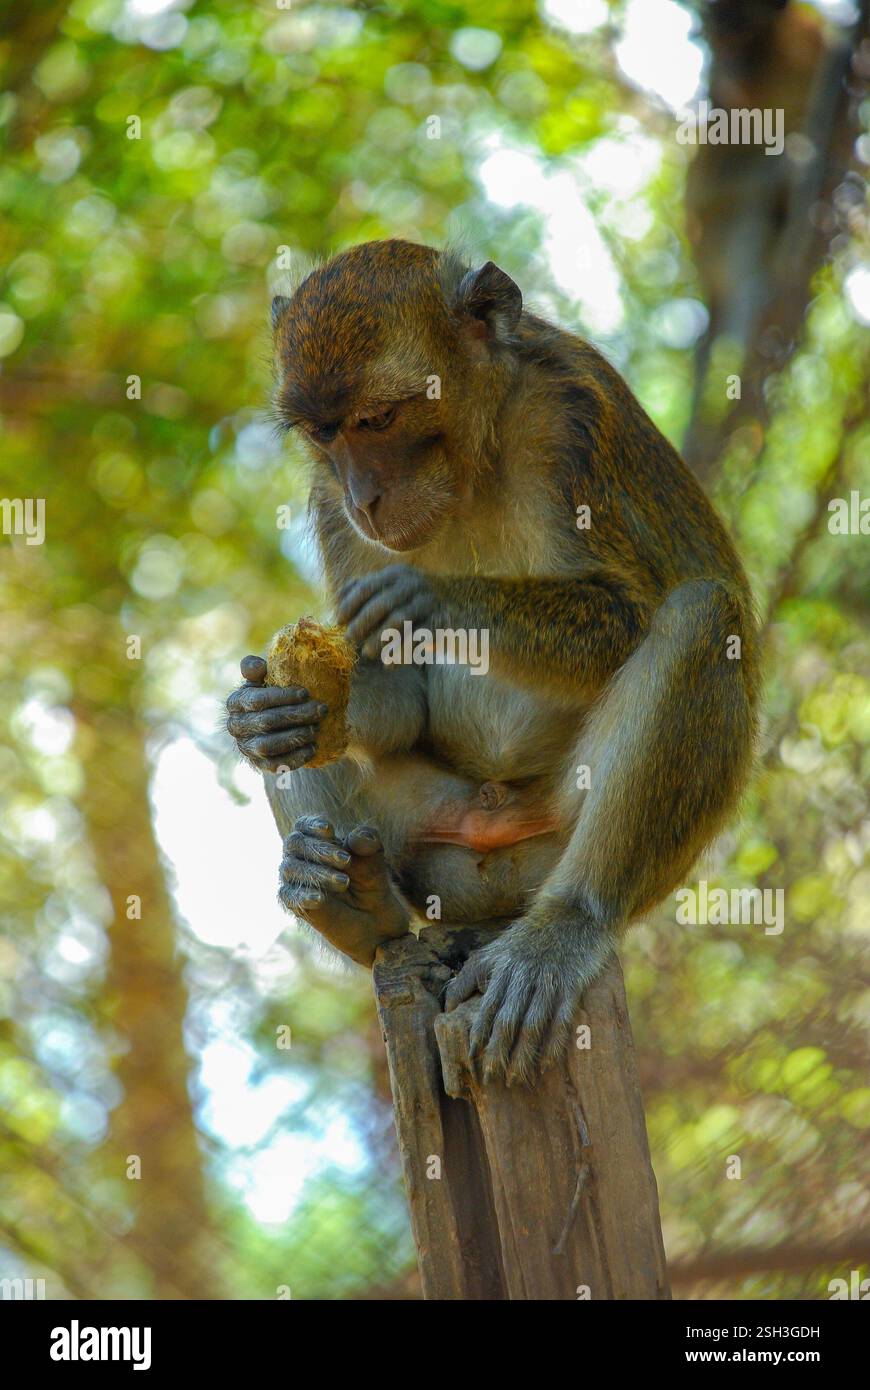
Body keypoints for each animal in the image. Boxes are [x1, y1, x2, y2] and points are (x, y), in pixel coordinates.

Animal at [225, 239, 760, 1085]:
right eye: (324, 435)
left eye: (378, 419)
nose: (364, 496)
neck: (473, 462)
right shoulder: (328, 506)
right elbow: (386, 703)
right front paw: (275, 712)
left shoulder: (573, 419)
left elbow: (630, 611)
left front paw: (433, 601)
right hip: (421, 838)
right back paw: (355, 904)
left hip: (573, 836)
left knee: (701, 616)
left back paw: (565, 927)